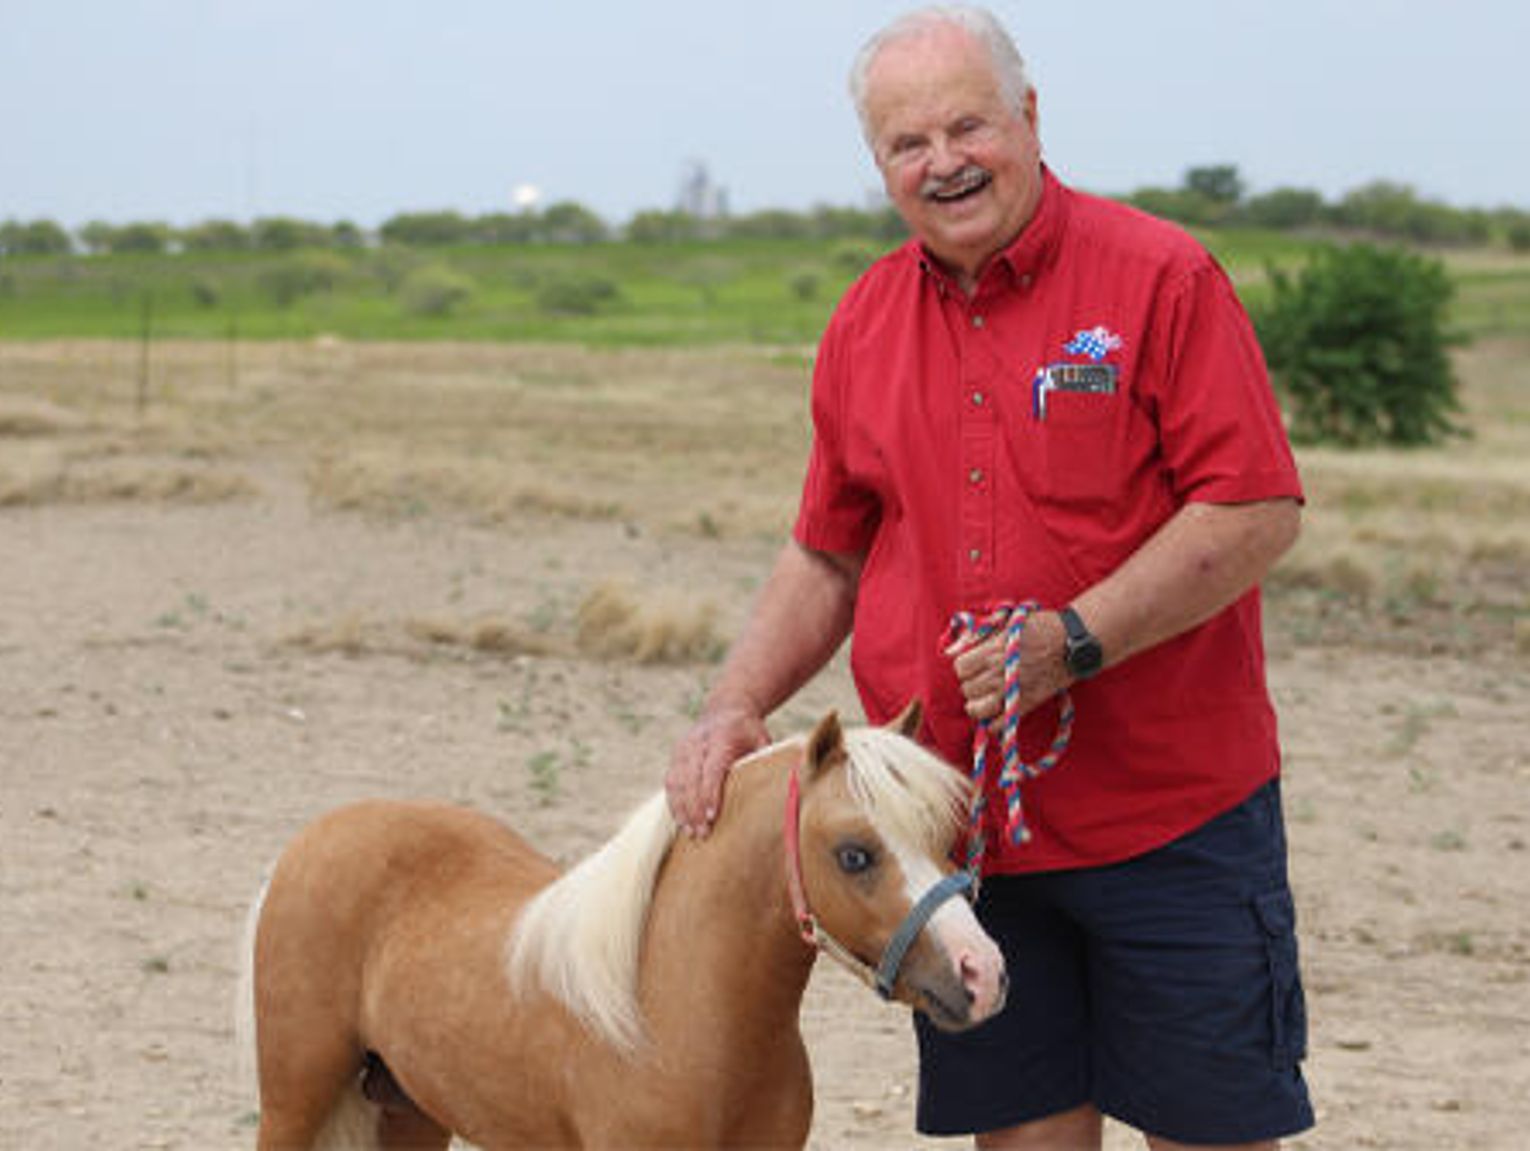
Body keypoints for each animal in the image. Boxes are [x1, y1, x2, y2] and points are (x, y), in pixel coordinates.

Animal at [240, 704, 1008, 1149]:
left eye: (947, 834)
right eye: (854, 853)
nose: (983, 973)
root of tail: (312, 840)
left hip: (410, 1108)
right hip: (294, 1100)